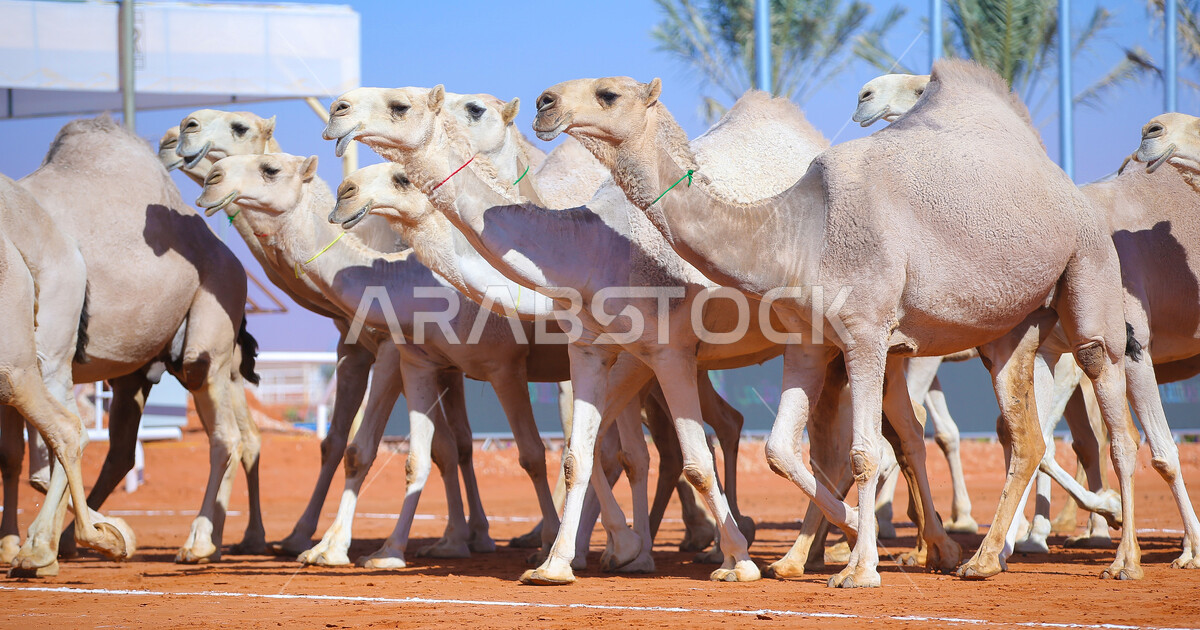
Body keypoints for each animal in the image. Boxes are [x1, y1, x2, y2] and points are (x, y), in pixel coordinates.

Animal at [18, 115, 264, 568]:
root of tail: (232, 260)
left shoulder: (43, 355)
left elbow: (46, 452)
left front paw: (38, 548)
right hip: (133, 372)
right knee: (122, 450)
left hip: (205, 343)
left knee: (227, 435)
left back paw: (199, 543)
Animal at [322, 84, 963, 584]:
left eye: (401, 105)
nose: (337, 110)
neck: (590, 247)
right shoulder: (599, 349)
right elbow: (586, 453)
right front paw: (567, 562)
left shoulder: (664, 349)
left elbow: (676, 455)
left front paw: (724, 557)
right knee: (834, 442)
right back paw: (821, 551)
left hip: (862, 336)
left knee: (887, 437)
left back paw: (914, 548)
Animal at [531, 61, 1158, 584]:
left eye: (608, 93)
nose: (543, 101)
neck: (799, 231)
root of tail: (1065, 183)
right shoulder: (811, 340)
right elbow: (782, 449)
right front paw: (838, 545)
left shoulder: (867, 330)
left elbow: (863, 452)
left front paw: (860, 567)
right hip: (1009, 327)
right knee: (1024, 435)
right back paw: (981, 560)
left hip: (1089, 269)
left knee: (1113, 412)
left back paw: (1123, 560)